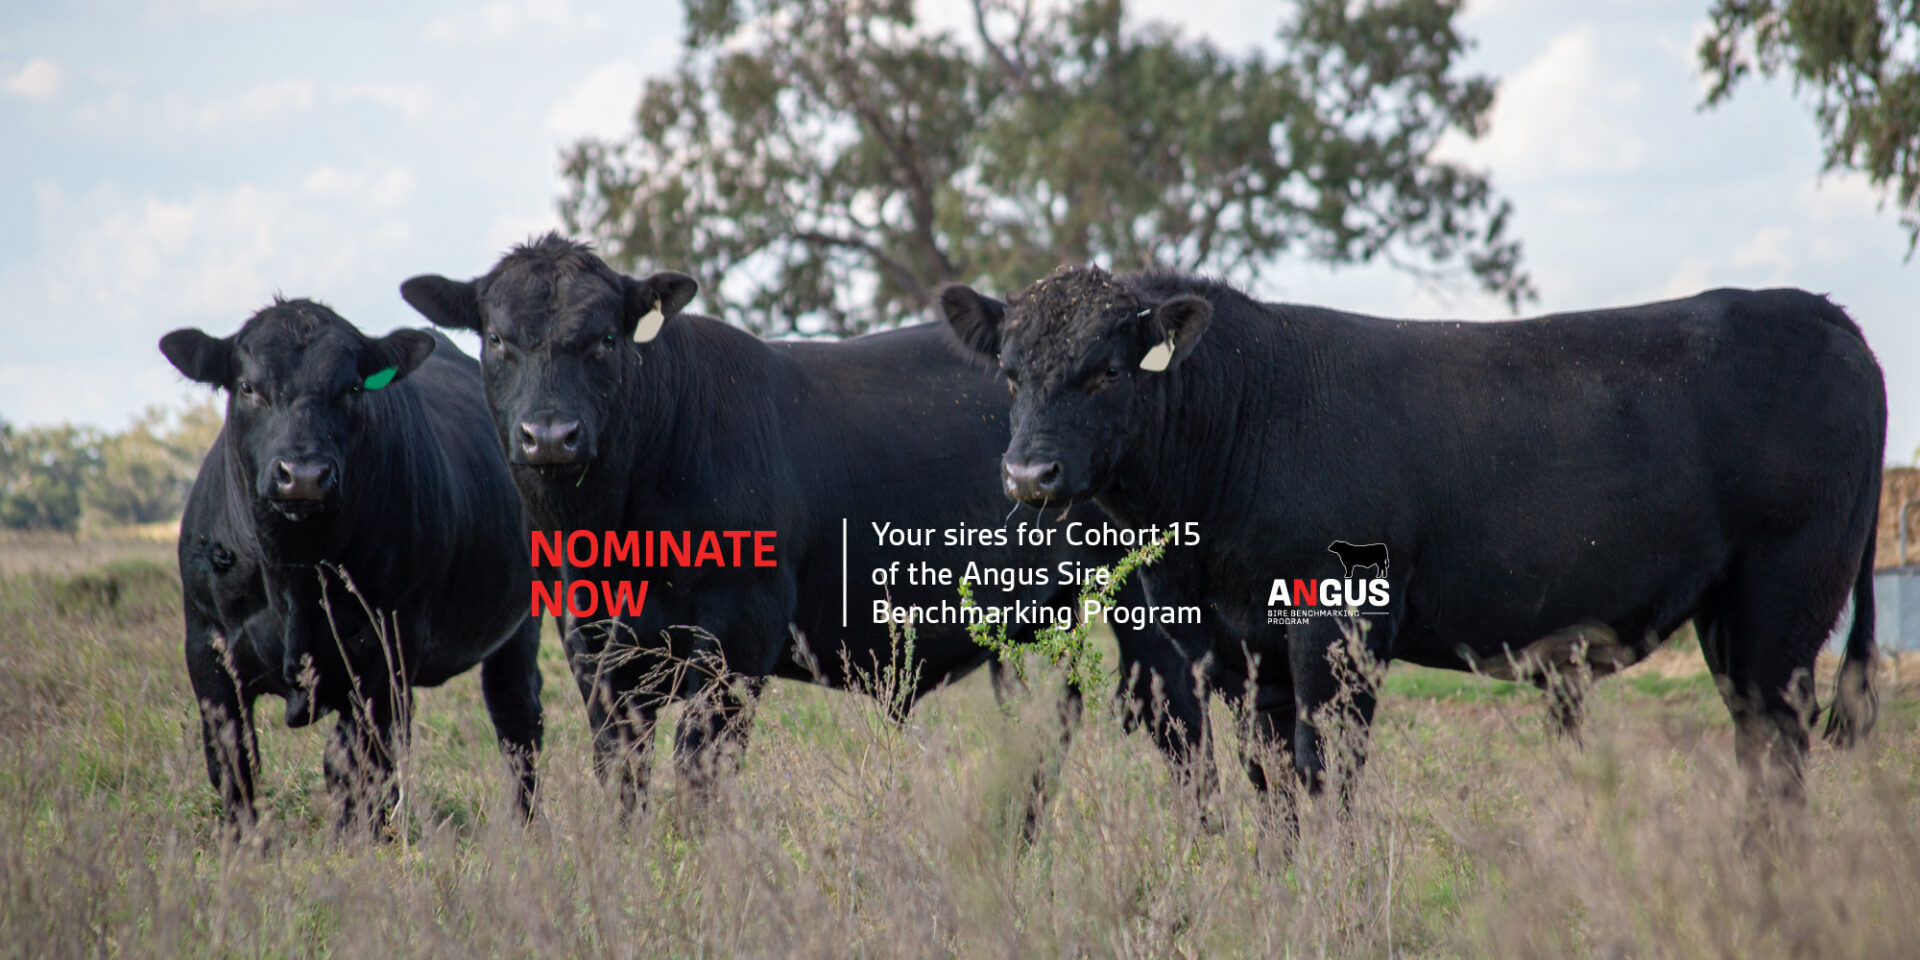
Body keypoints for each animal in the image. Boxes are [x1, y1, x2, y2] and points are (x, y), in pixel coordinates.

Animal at [164, 299, 544, 834]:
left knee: (516, 722)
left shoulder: (382, 653)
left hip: (521, 626)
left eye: (352, 388)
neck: (295, 571)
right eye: (248, 387)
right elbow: (234, 767)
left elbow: (357, 767)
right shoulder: (208, 654)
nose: (303, 474)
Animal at [397, 235, 1210, 819]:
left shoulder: (740, 635)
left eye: (604, 340)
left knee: (1174, 717)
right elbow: (624, 779)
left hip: (1141, 607)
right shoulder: (595, 650)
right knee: (1046, 730)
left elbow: (700, 776)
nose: (550, 435)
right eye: (497, 340)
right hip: (1038, 624)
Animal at [939, 264, 1883, 818]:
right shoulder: (1241, 645)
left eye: (1107, 370)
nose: (1028, 476)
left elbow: (1326, 774)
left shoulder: (1339, 627)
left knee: (1778, 754)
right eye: (1010, 375)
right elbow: (1271, 784)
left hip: (1784, 598)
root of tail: (1814, 311)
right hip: (1731, 614)